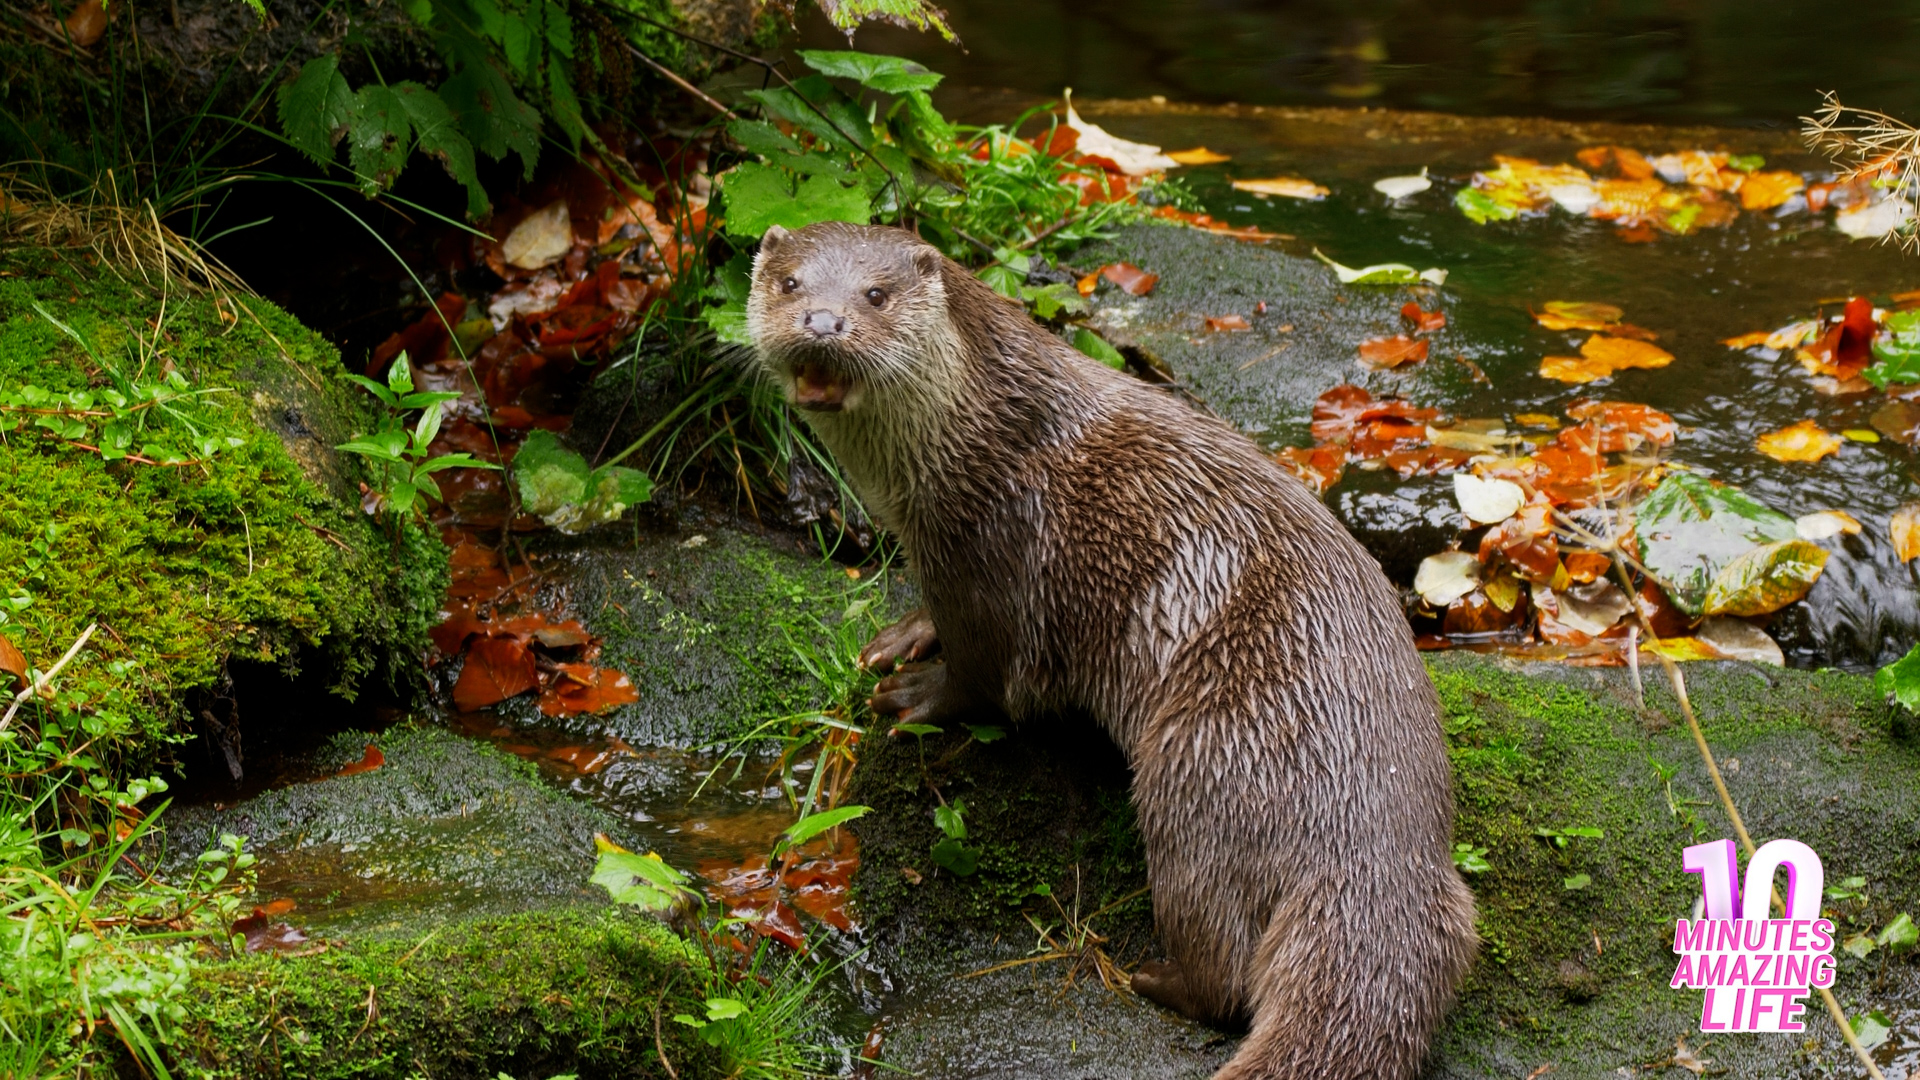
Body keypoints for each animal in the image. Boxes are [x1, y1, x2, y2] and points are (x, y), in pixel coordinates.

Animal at [747, 221, 1476, 1080]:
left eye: (876, 294)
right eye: (791, 283)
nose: (823, 324)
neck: (968, 444)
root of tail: (1370, 846)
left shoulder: (992, 552)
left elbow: (985, 676)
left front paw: (917, 694)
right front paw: (902, 636)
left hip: (1201, 770)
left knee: (1222, 967)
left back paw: (1149, 976)